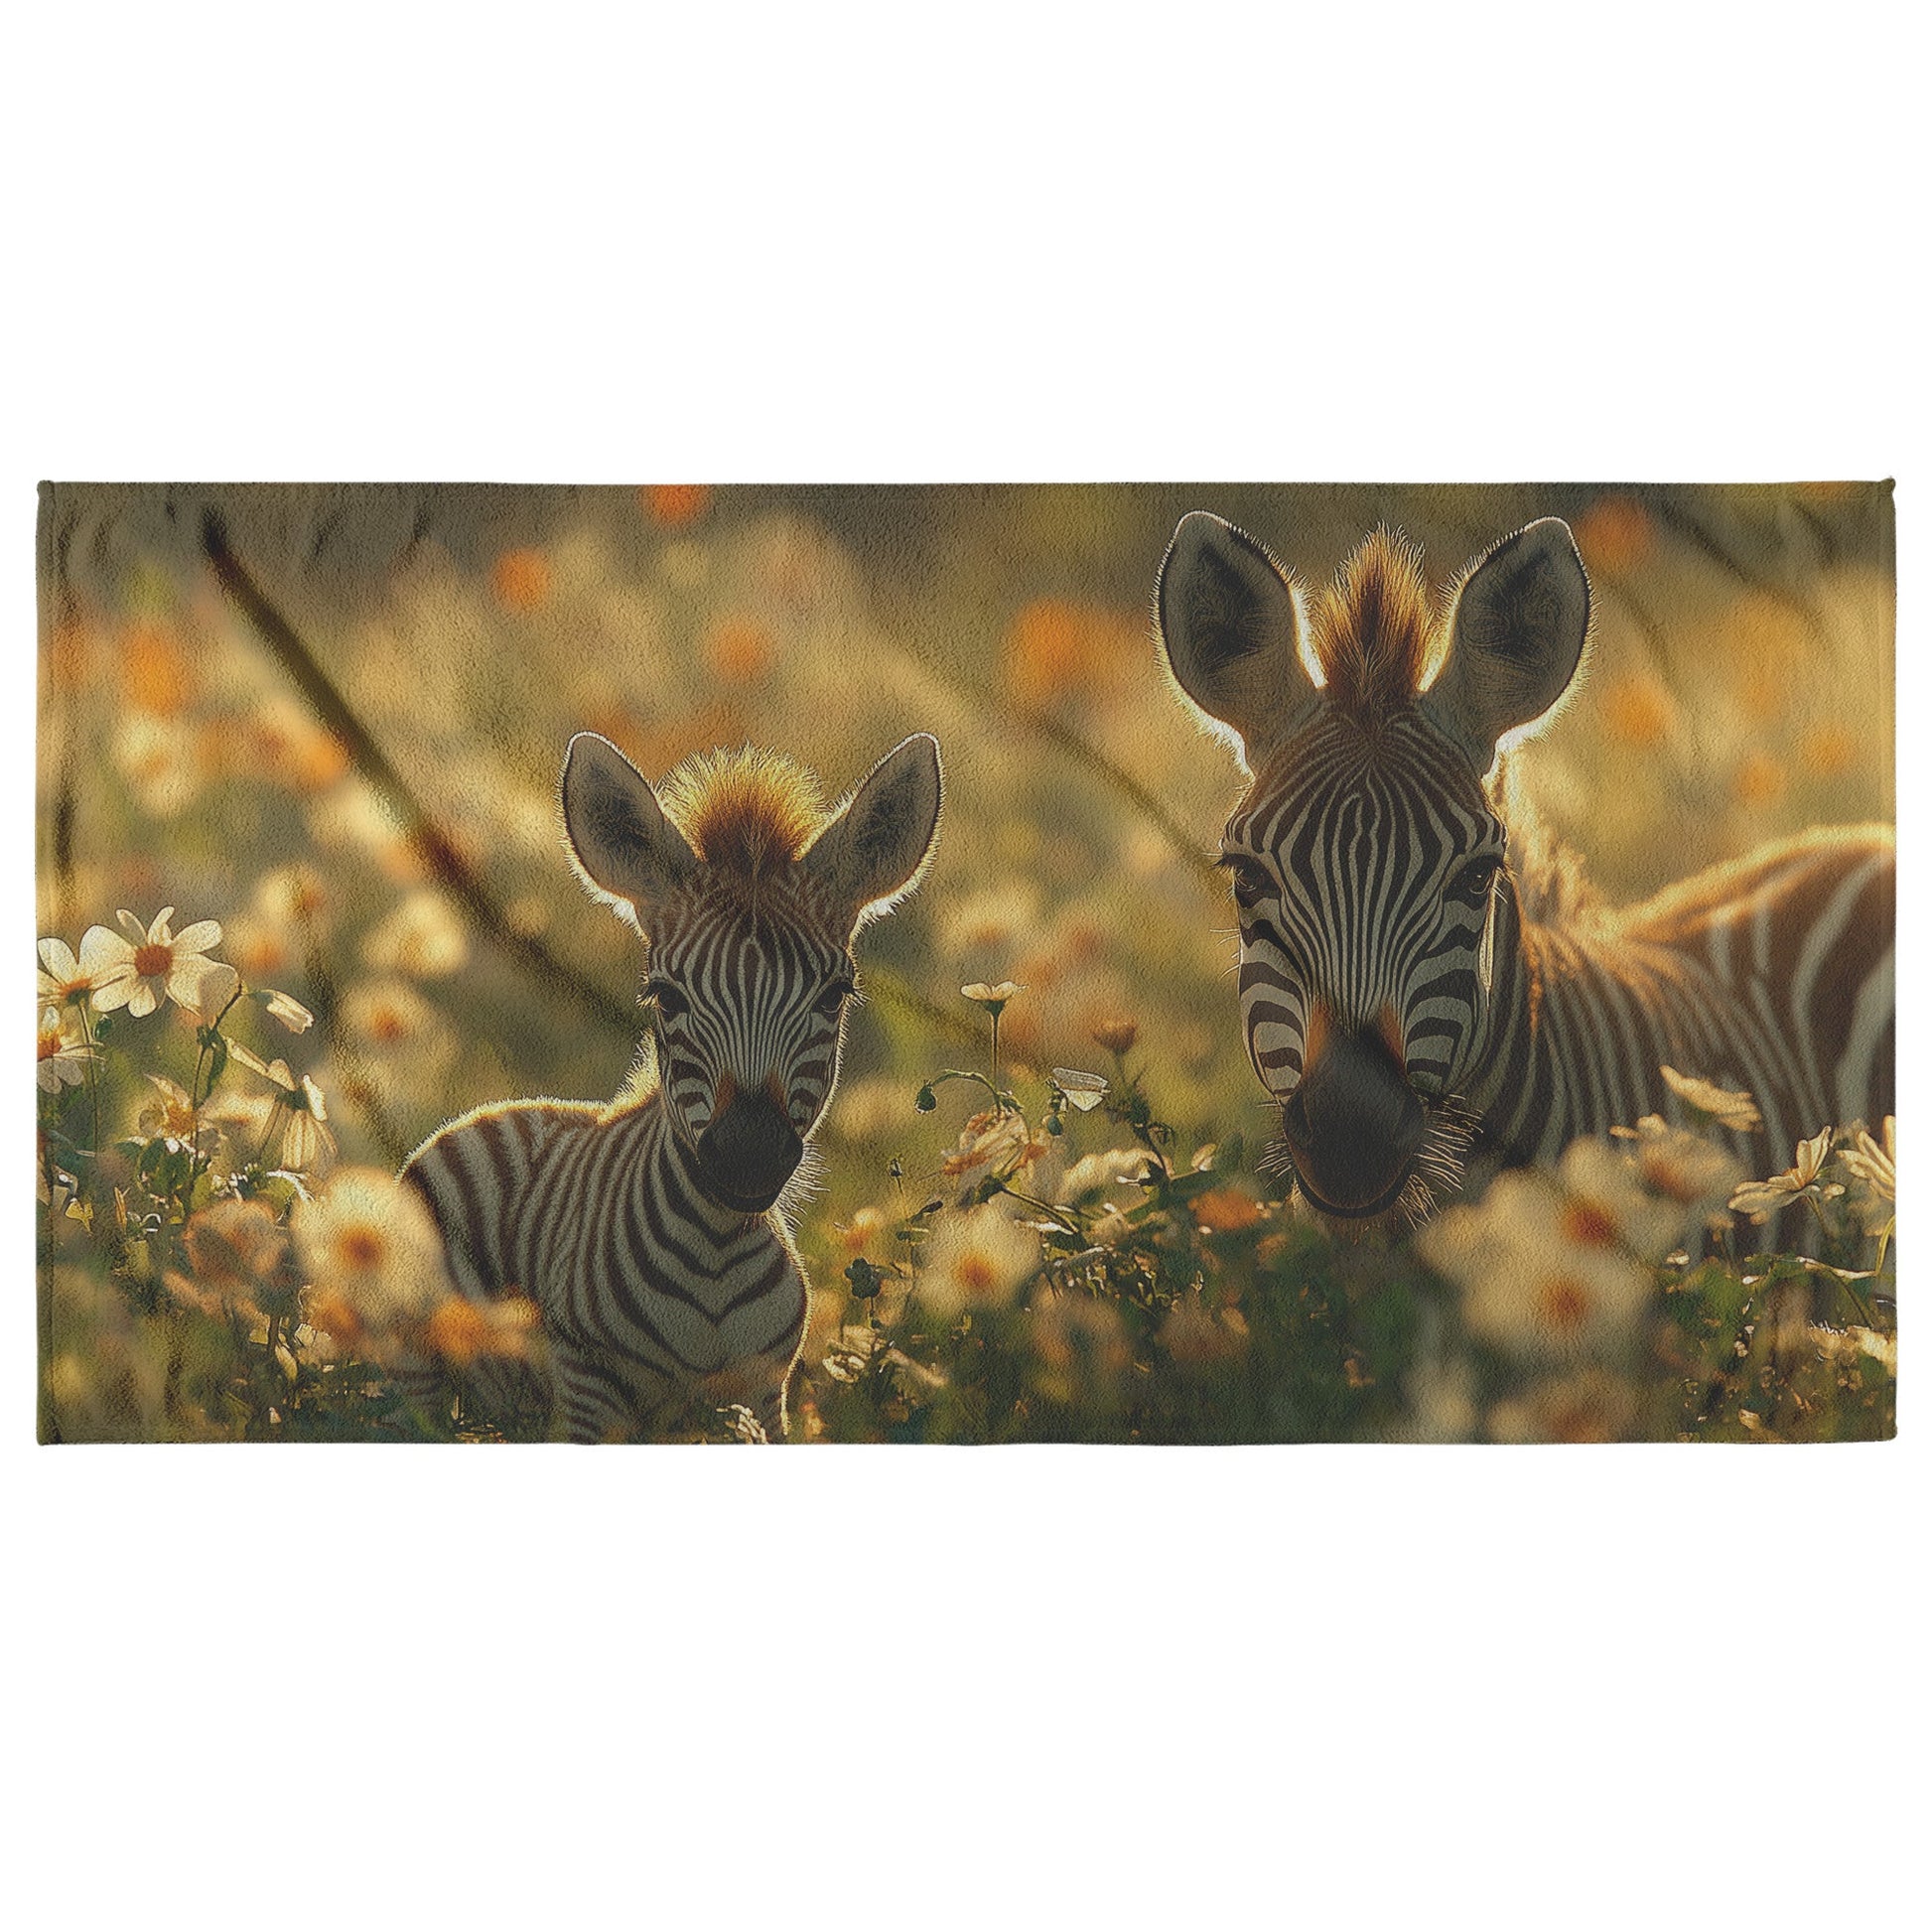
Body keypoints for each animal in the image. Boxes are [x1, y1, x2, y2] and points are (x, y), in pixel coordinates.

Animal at [401, 730, 943, 1441]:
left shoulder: (763, 1393)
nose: (749, 1156)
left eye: (835, 996)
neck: (715, 1251)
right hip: (415, 1368)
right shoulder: (587, 1386)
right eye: (666, 996)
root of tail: (492, 1110)